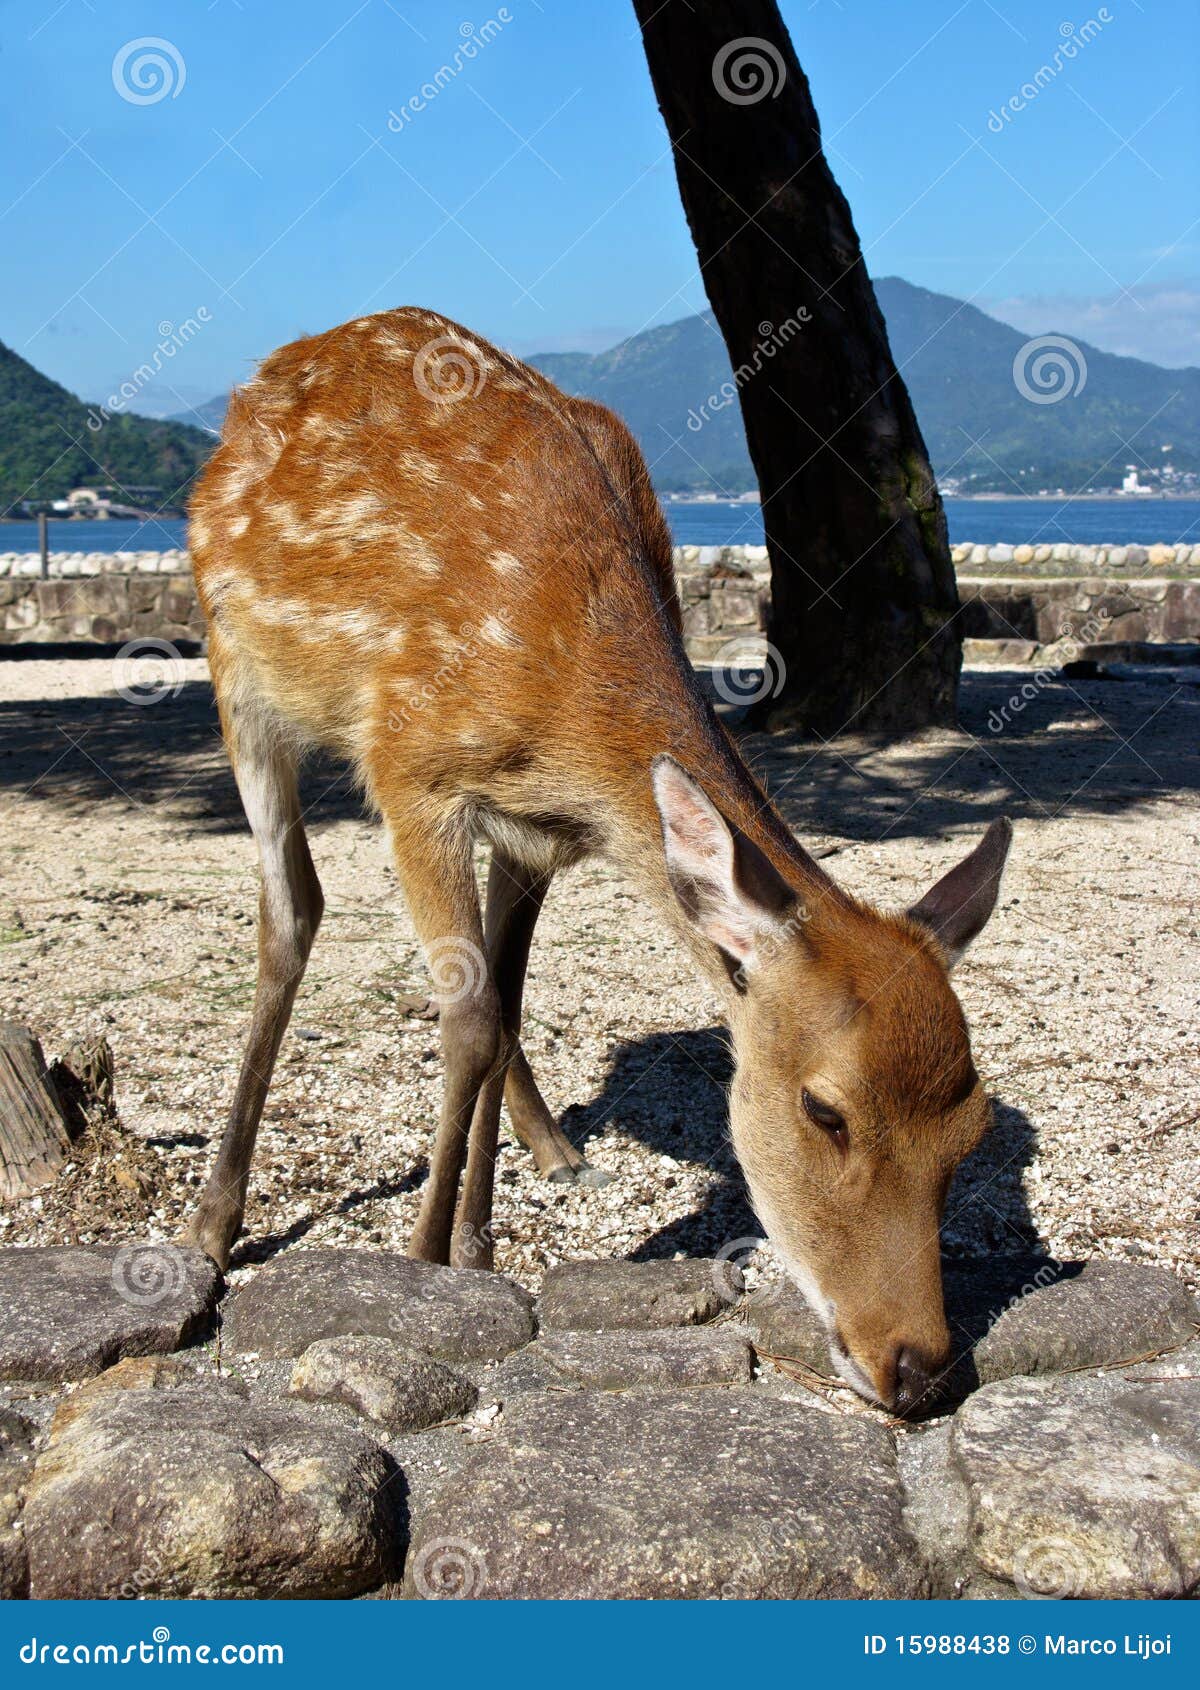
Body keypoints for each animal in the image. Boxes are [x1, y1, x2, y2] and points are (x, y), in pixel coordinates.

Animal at [182, 306, 1012, 1416]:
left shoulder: (545, 832)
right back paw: (214, 1219)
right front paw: (422, 1260)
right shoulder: (411, 771)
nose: (917, 1365)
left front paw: (477, 1247)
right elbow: (466, 1019)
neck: (568, 700)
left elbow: (498, 1014)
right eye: (824, 1110)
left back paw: (556, 1147)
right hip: (236, 665)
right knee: (293, 908)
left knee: (489, 993)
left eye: (972, 1128)